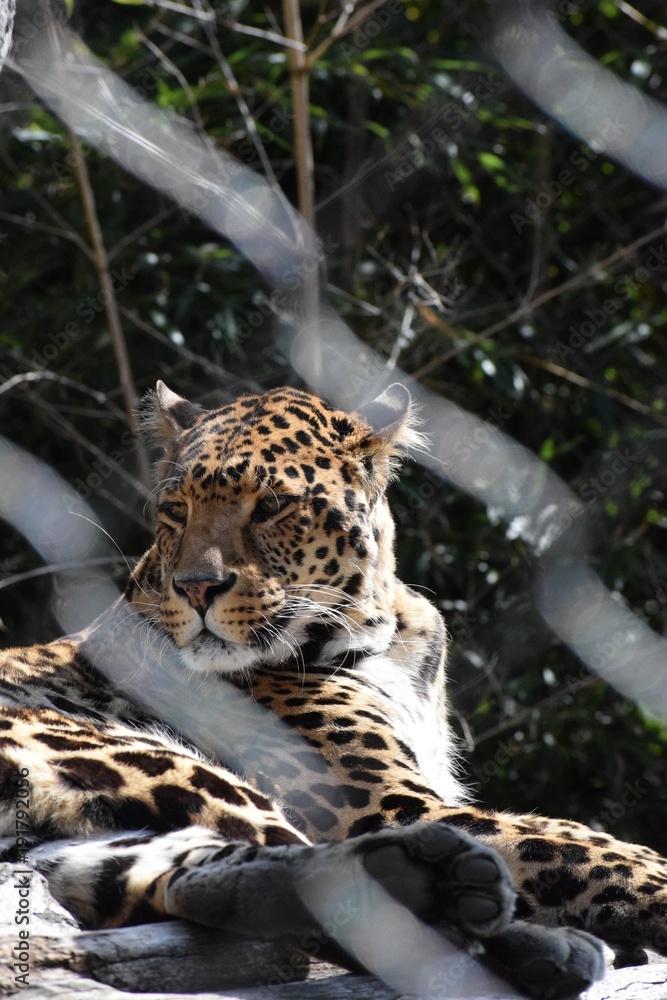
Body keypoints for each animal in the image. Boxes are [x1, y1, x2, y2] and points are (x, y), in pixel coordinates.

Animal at [2, 381, 667, 999]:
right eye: (175, 511)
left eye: (270, 506)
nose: (194, 587)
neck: (385, 631)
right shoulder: (392, 802)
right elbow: (594, 848)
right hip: (149, 757)